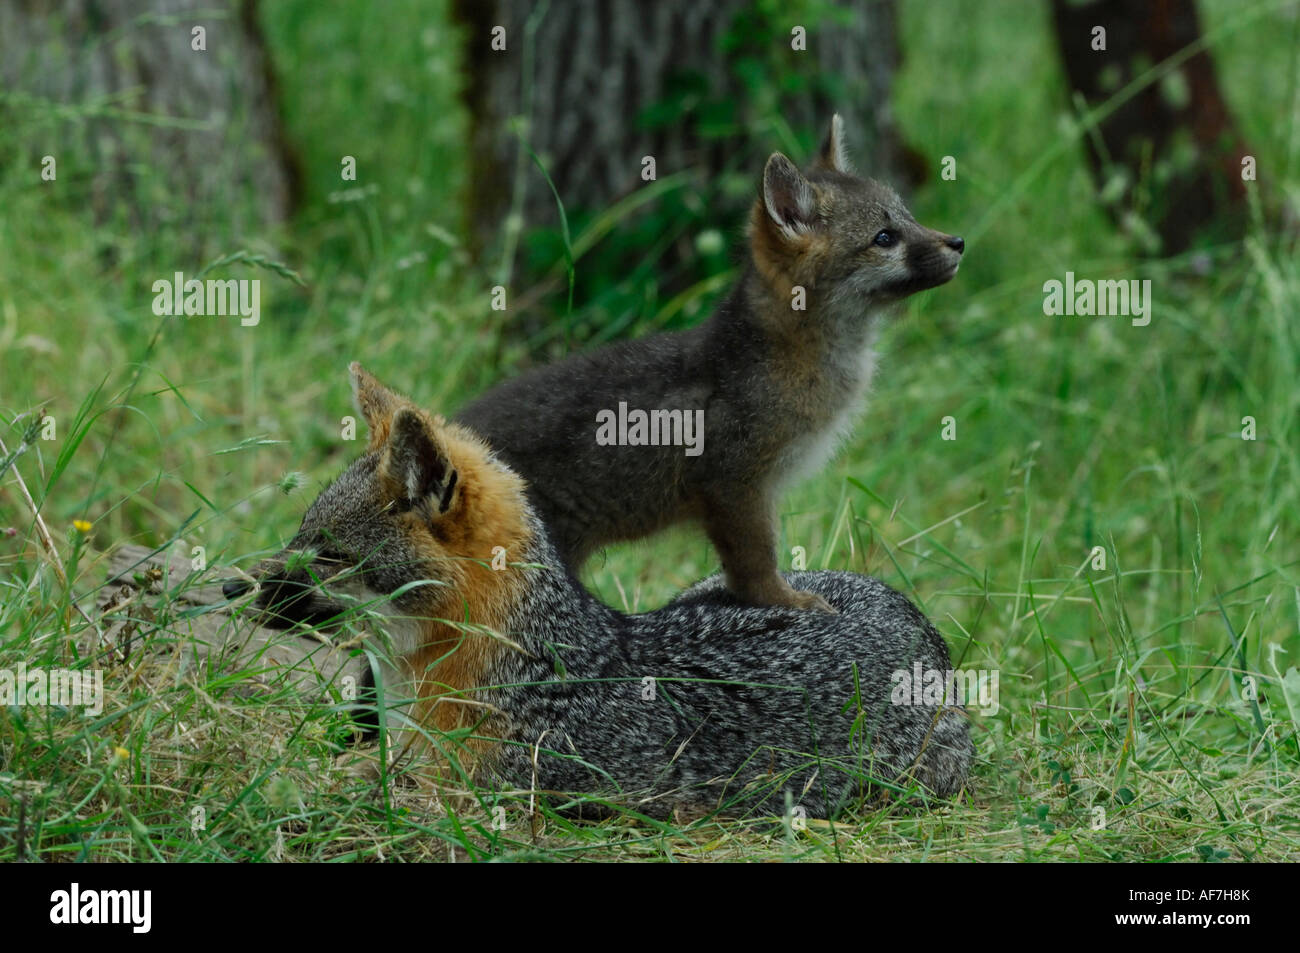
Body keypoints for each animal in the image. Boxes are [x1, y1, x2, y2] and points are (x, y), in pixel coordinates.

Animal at [454, 115, 964, 613]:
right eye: (885, 238)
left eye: (909, 218)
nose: (958, 242)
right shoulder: (735, 487)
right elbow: (755, 563)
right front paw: (784, 600)